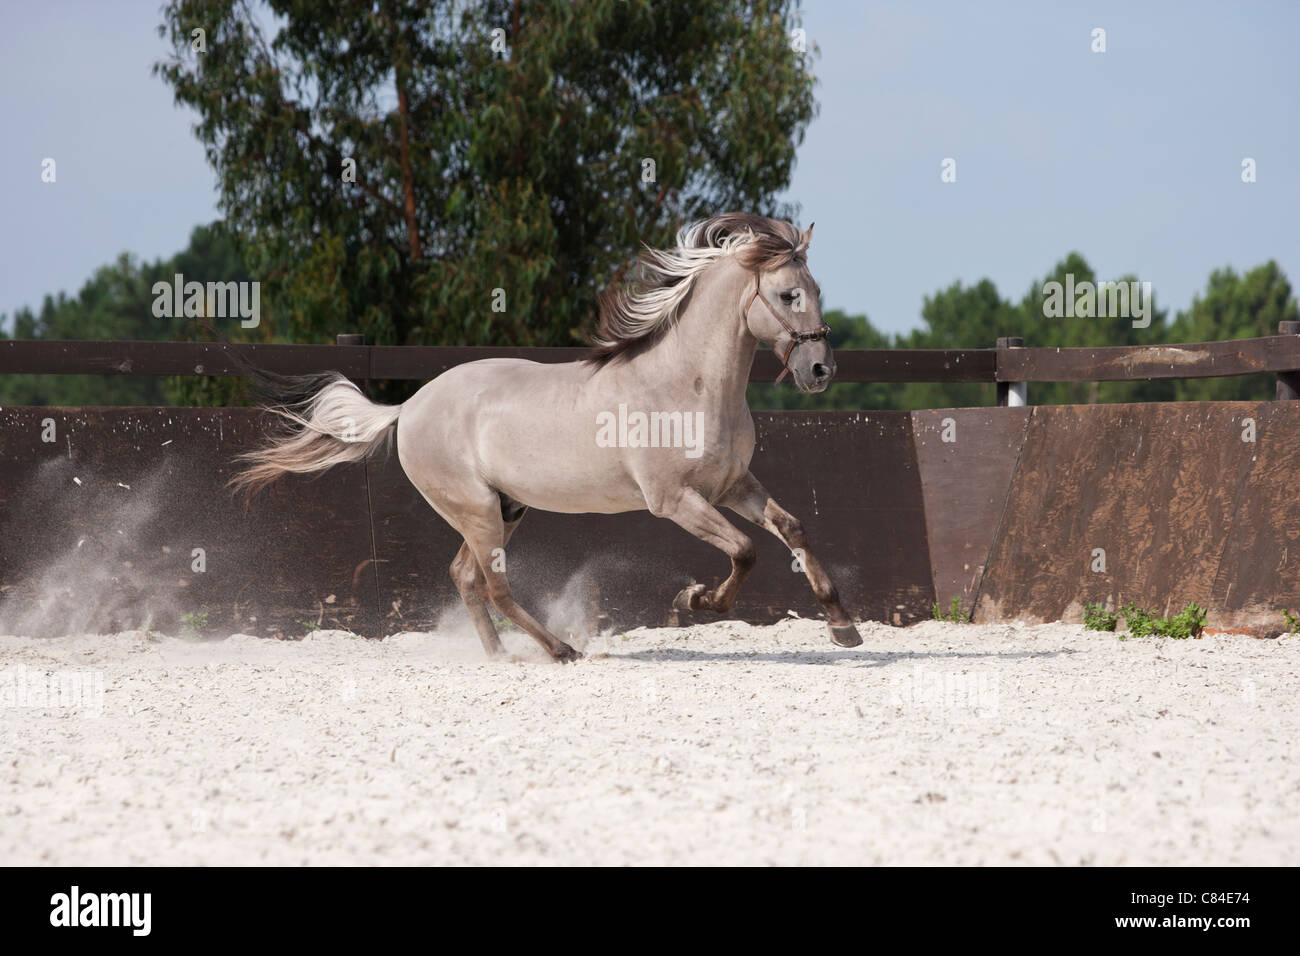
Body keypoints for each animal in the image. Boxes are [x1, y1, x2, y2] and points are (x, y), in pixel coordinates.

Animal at [232, 213, 863, 661]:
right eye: (788, 295)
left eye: (817, 290)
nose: (820, 370)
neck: (690, 385)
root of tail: (408, 408)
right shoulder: (675, 501)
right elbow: (745, 550)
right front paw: (696, 600)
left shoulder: (734, 485)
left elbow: (791, 529)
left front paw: (843, 627)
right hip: (477, 510)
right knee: (493, 586)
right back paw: (561, 651)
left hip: (503, 509)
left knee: (466, 578)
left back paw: (501, 658)